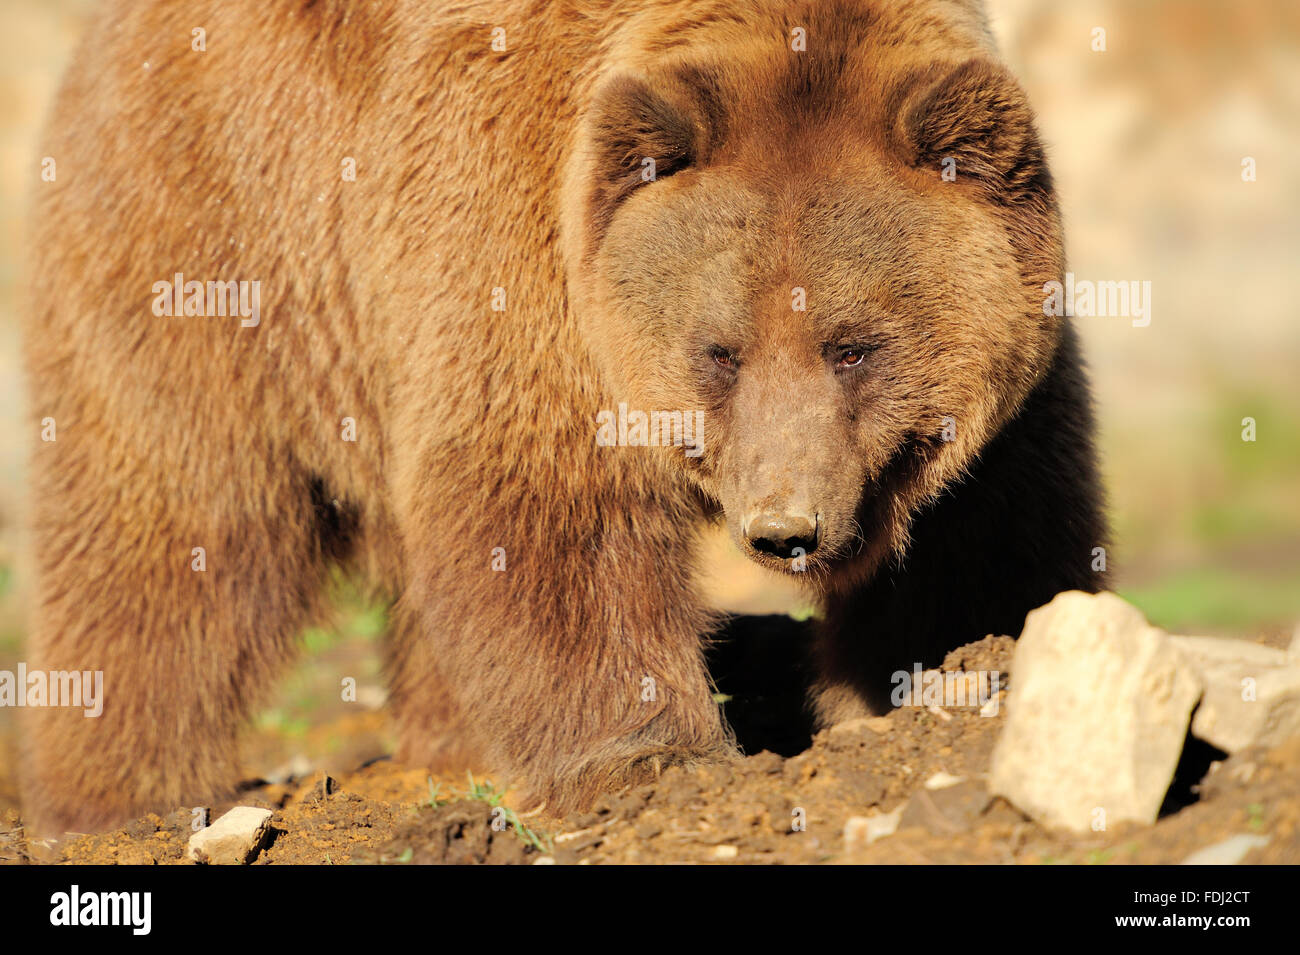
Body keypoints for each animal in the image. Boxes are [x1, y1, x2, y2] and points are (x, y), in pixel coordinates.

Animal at [21, 0, 1106, 836]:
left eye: (854, 345)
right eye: (721, 348)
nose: (785, 526)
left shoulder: (1003, 359)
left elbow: (989, 524)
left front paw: (954, 678)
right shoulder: (522, 241)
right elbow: (552, 505)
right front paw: (648, 760)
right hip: (220, 238)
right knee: (179, 523)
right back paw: (116, 794)